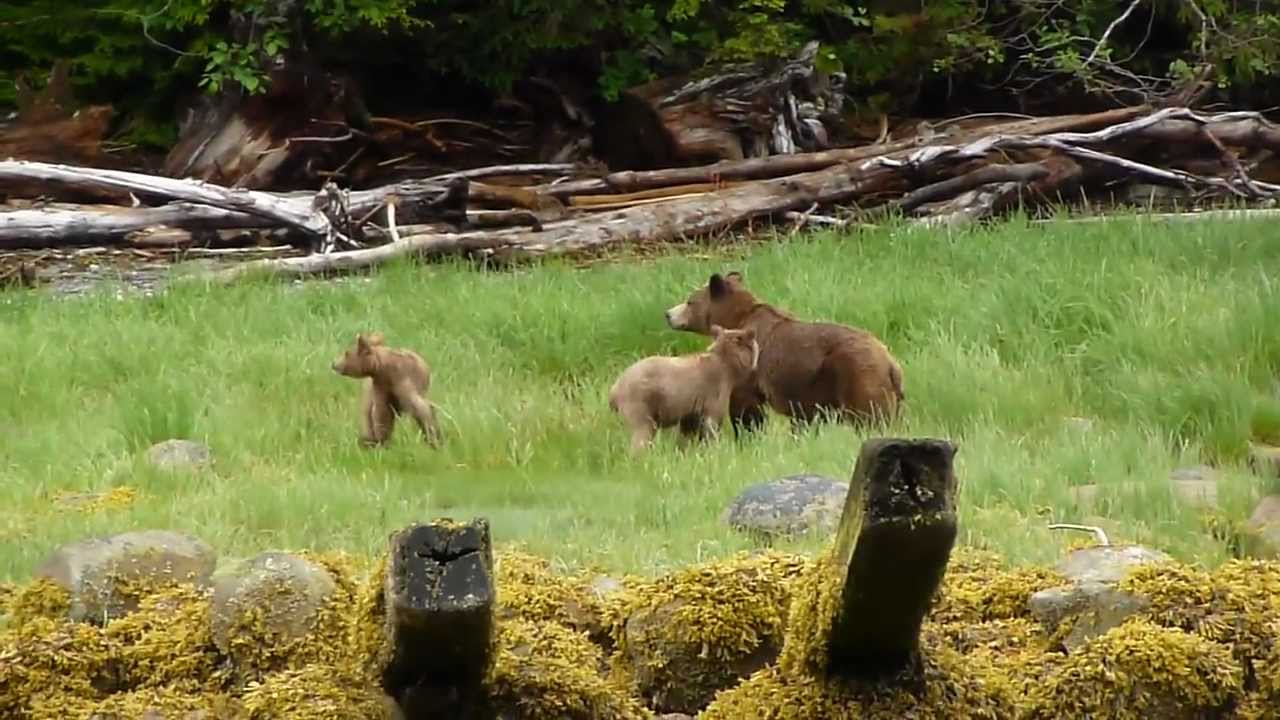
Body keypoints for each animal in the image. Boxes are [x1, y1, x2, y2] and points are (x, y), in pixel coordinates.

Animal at [608, 325, 760, 454]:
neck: (729, 368)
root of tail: (614, 390)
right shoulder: (715, 391)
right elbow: (712, 423)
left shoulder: (692, 408)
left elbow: (688, 429)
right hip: (640, 402)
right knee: (642, 433)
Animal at [664, 270, 904, 429]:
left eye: (689, 301)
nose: (668, 314)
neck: (737, 318)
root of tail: (891, 363)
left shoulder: (751, 367)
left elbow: (746, 405)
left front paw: (748, 433)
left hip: (856, 374)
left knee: (870, 416)